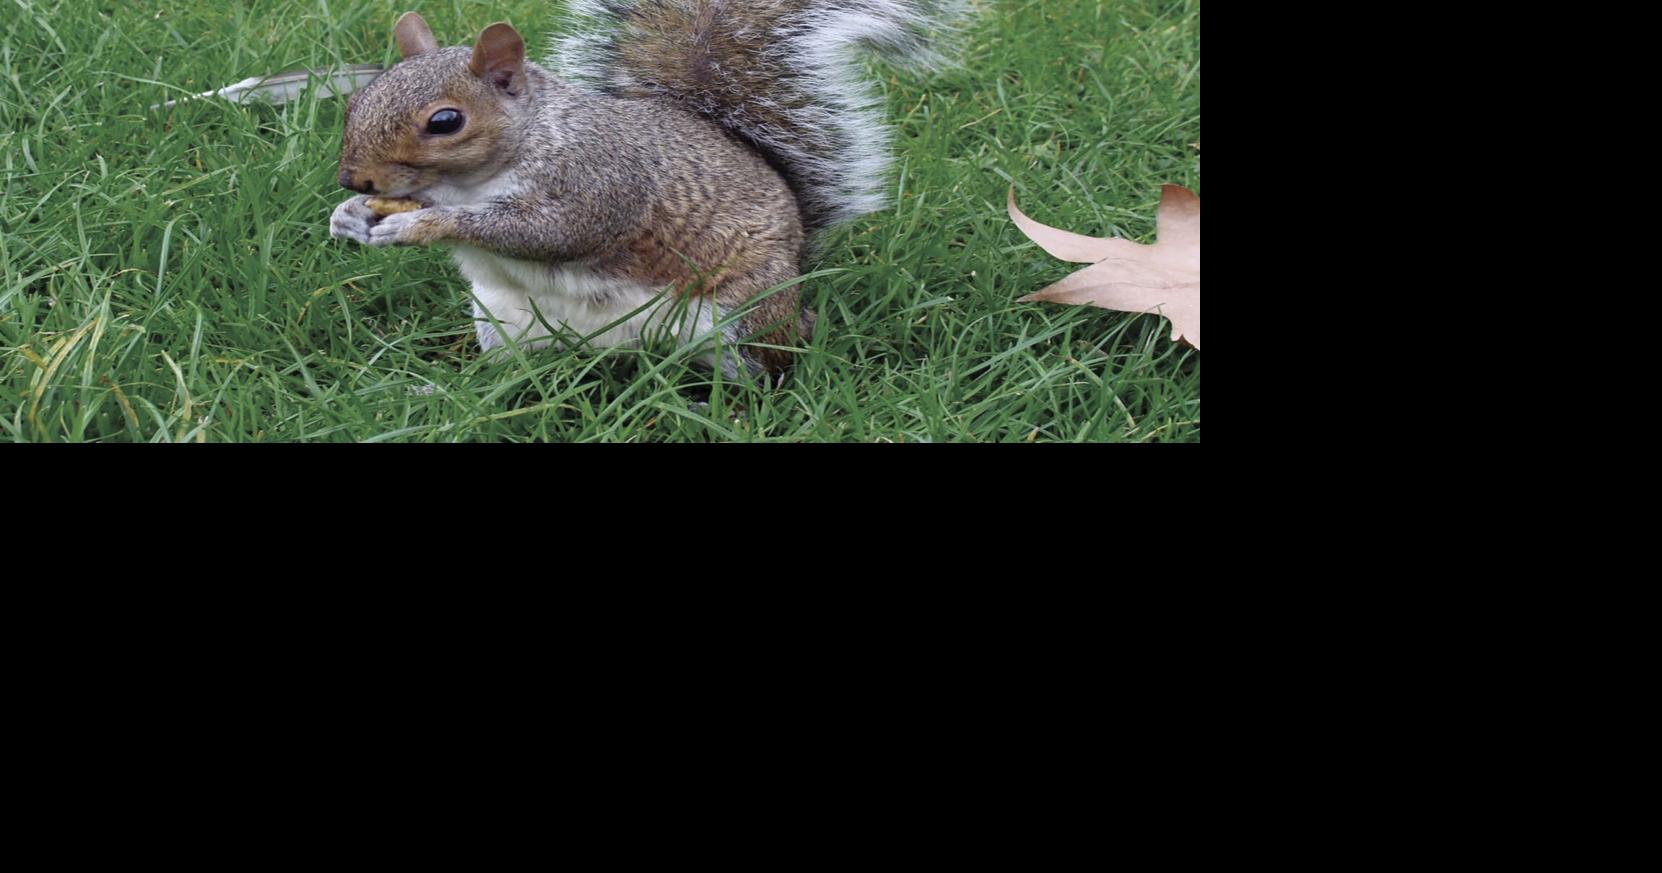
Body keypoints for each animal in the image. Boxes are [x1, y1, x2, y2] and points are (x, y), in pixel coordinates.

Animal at [329, 1, 965, 375]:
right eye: (356, 102)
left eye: (445, 121)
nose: (352, 177)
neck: (469, 182)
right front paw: (349, 215)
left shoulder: (602, 181)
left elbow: (550, 232)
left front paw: (420, 224)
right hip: (503, 324)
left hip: (743, 317)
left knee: (764, 371)